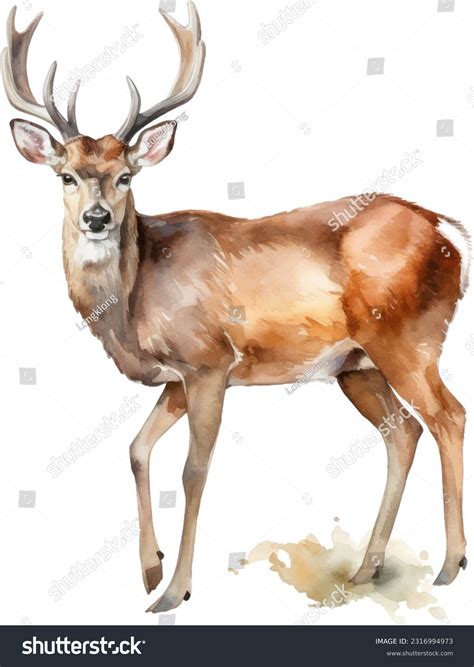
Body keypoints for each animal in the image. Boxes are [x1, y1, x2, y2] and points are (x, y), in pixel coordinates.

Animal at [2, 1, 469, 614]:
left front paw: (175, 591)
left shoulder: (209, 362)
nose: (97, 218)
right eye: (66, 176)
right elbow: (135, 449)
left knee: (449, 417)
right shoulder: (176, 378)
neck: (133, 306)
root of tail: (447, 230)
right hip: (356, 366)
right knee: (403, 432)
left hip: (408, 340)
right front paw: (149, 571)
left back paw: (449, 565)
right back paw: (368, 568)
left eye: (126, 176)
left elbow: (194, 470)